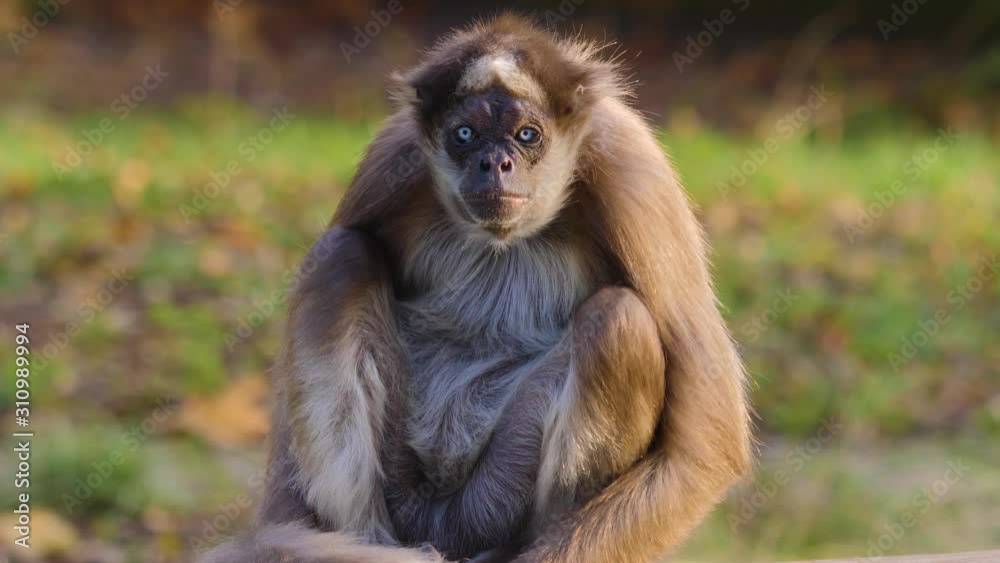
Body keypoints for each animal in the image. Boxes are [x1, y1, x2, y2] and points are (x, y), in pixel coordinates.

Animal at [201, 14, 752, 563]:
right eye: (465, 134)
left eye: (527, 135)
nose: (494, 163)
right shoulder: (392, 154)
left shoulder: (629, 166)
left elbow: (704, 449)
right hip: (409, 497)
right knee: (341, 259)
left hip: (492, 504)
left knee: (617, 321)